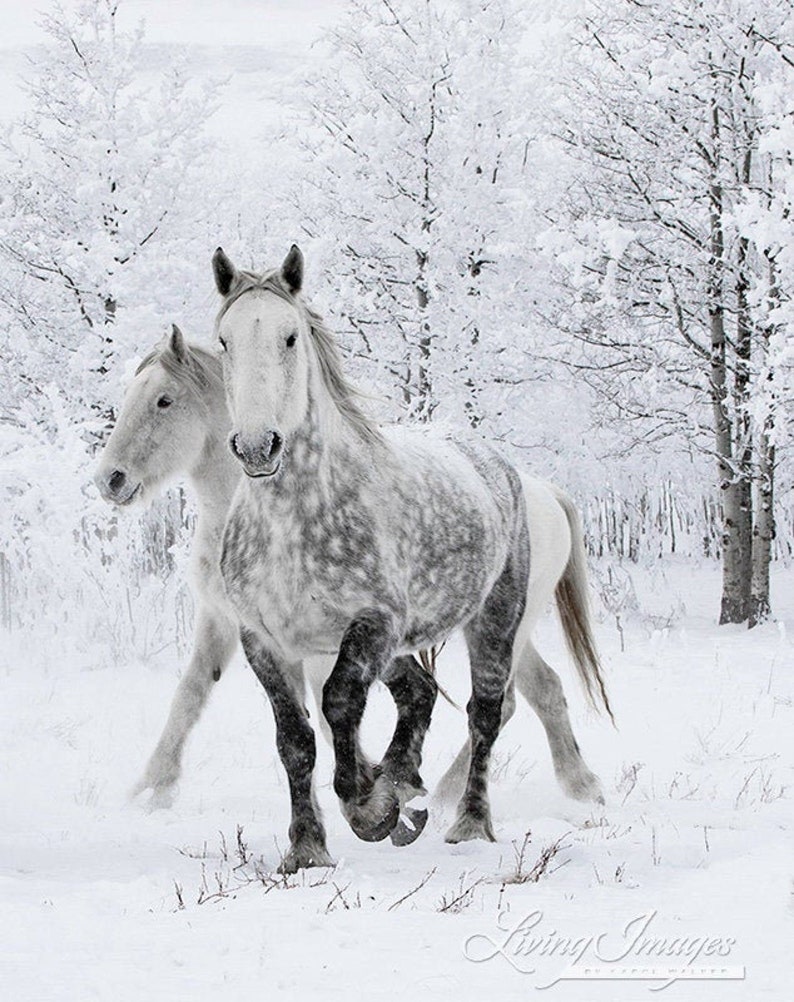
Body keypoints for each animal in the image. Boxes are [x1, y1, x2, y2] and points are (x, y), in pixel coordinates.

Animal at [210, 244, 611, 870]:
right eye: (225, 340)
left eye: (290, 337)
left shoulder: (373, 624)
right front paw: (308, 850)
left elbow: (340, 705)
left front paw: (371, 807)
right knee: (423, 693)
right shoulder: (265, 641)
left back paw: (467, 820)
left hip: (494, 622)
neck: (291, 525)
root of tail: (511, 470)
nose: (257, 447)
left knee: (487, 710)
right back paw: (414, 788)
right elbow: (295, 740)